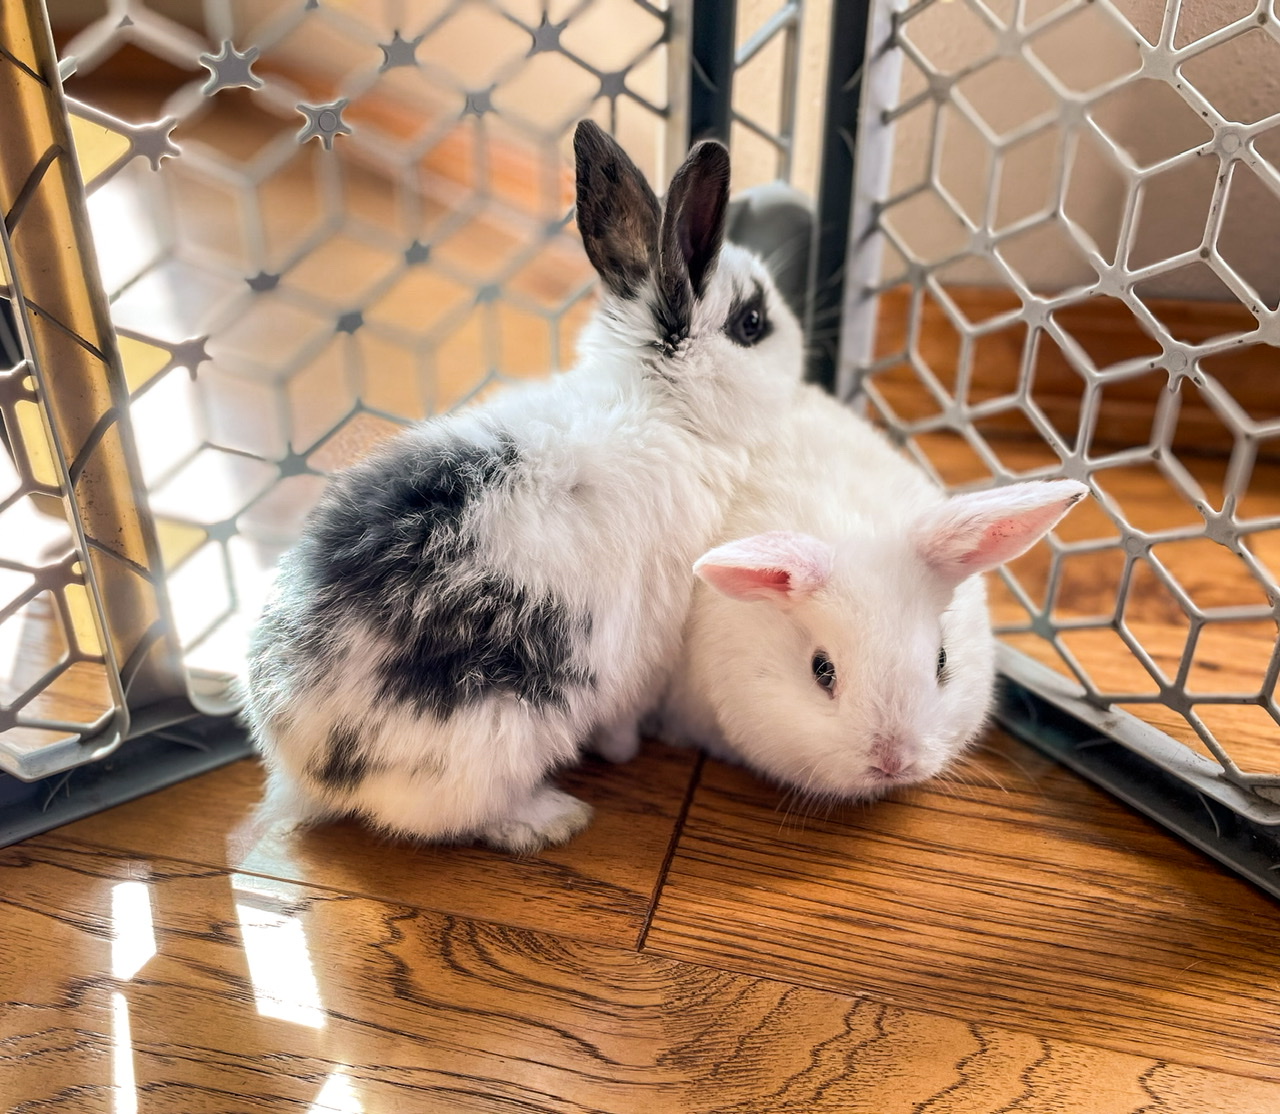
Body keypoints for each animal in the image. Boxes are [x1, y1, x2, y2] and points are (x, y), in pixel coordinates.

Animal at [243, 120, 805, 853]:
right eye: (752, 323)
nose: (801, 348)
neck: (659, 402)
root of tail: (303, 762)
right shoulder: (644, 644)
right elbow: (623, 716)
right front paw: (625, 750)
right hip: (496, 733)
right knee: (463, 816)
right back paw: (552, 818)